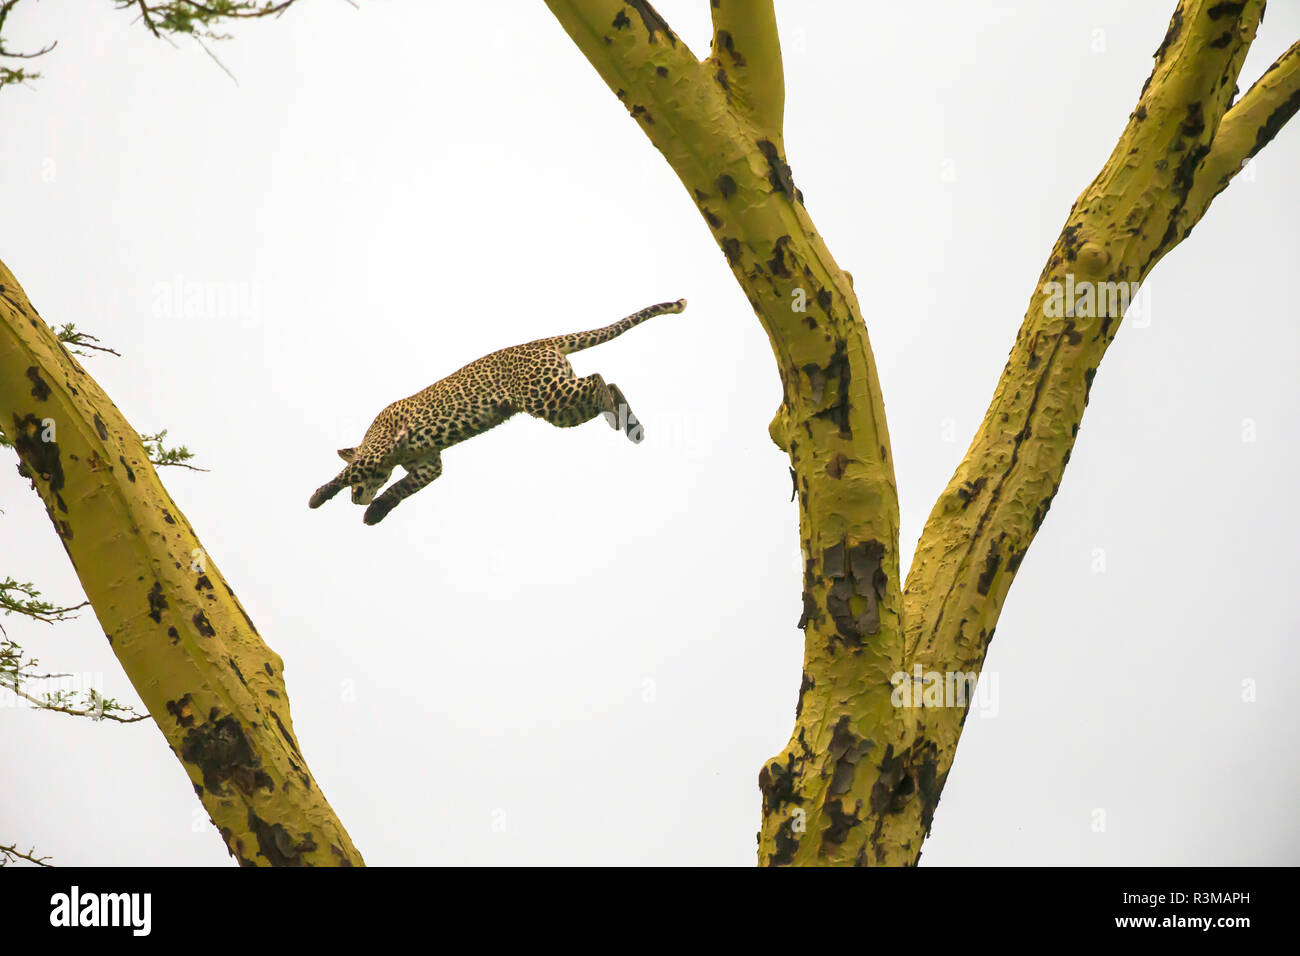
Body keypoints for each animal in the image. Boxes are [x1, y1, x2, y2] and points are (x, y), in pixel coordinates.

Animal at [308, 298, 687, 525]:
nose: (356, 502)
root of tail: (539, 342)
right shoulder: (427, 466)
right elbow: (399, 489)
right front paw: (376, 512)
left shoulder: (379, 450)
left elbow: (345, 473)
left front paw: (317, 497)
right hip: (559, 406)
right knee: (605, 385)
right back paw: (630, 424)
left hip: (545, 395)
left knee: (598, 381)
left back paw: (615, 410)